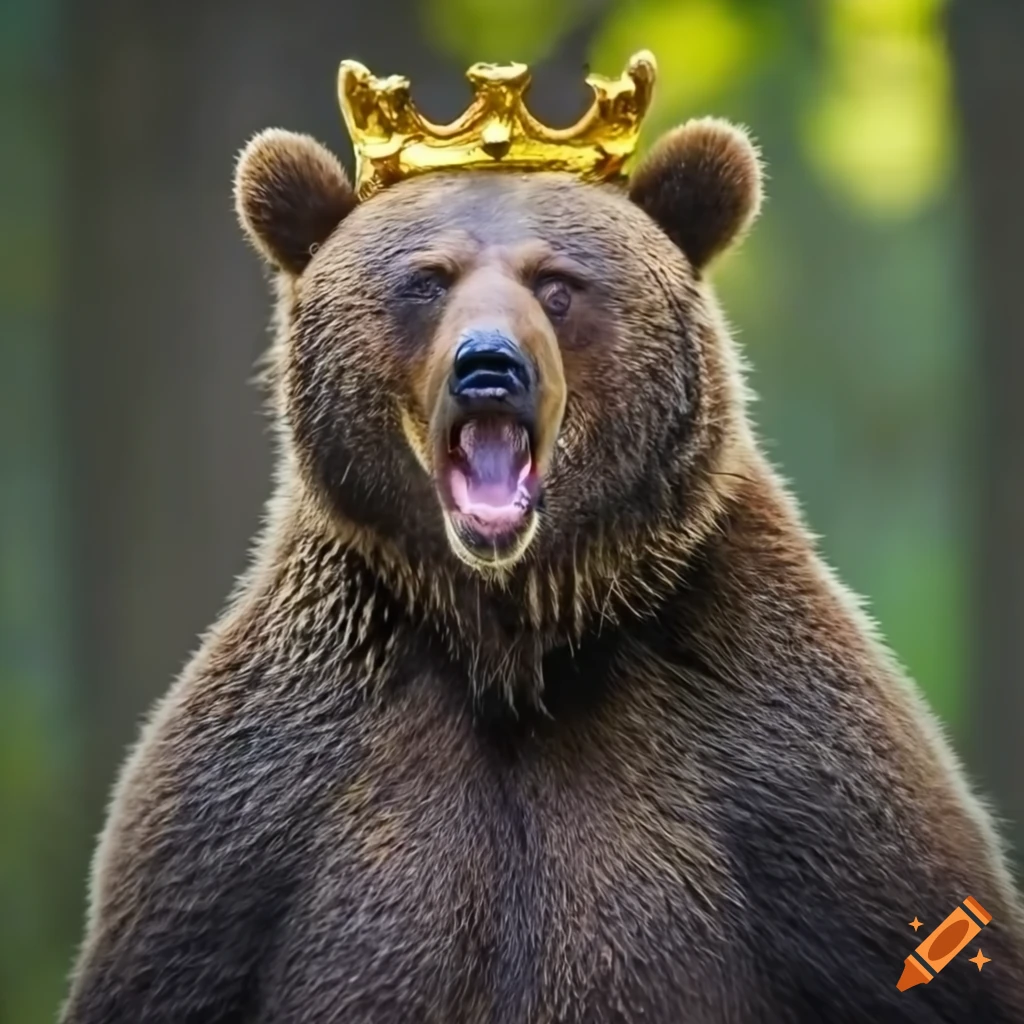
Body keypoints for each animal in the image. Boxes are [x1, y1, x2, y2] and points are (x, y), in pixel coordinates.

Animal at [59, 113, 1024, 1023]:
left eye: (558, 285)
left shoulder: (793, 775)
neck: (512, 639)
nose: (489, 366)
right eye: (427, 280)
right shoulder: (259, 811)